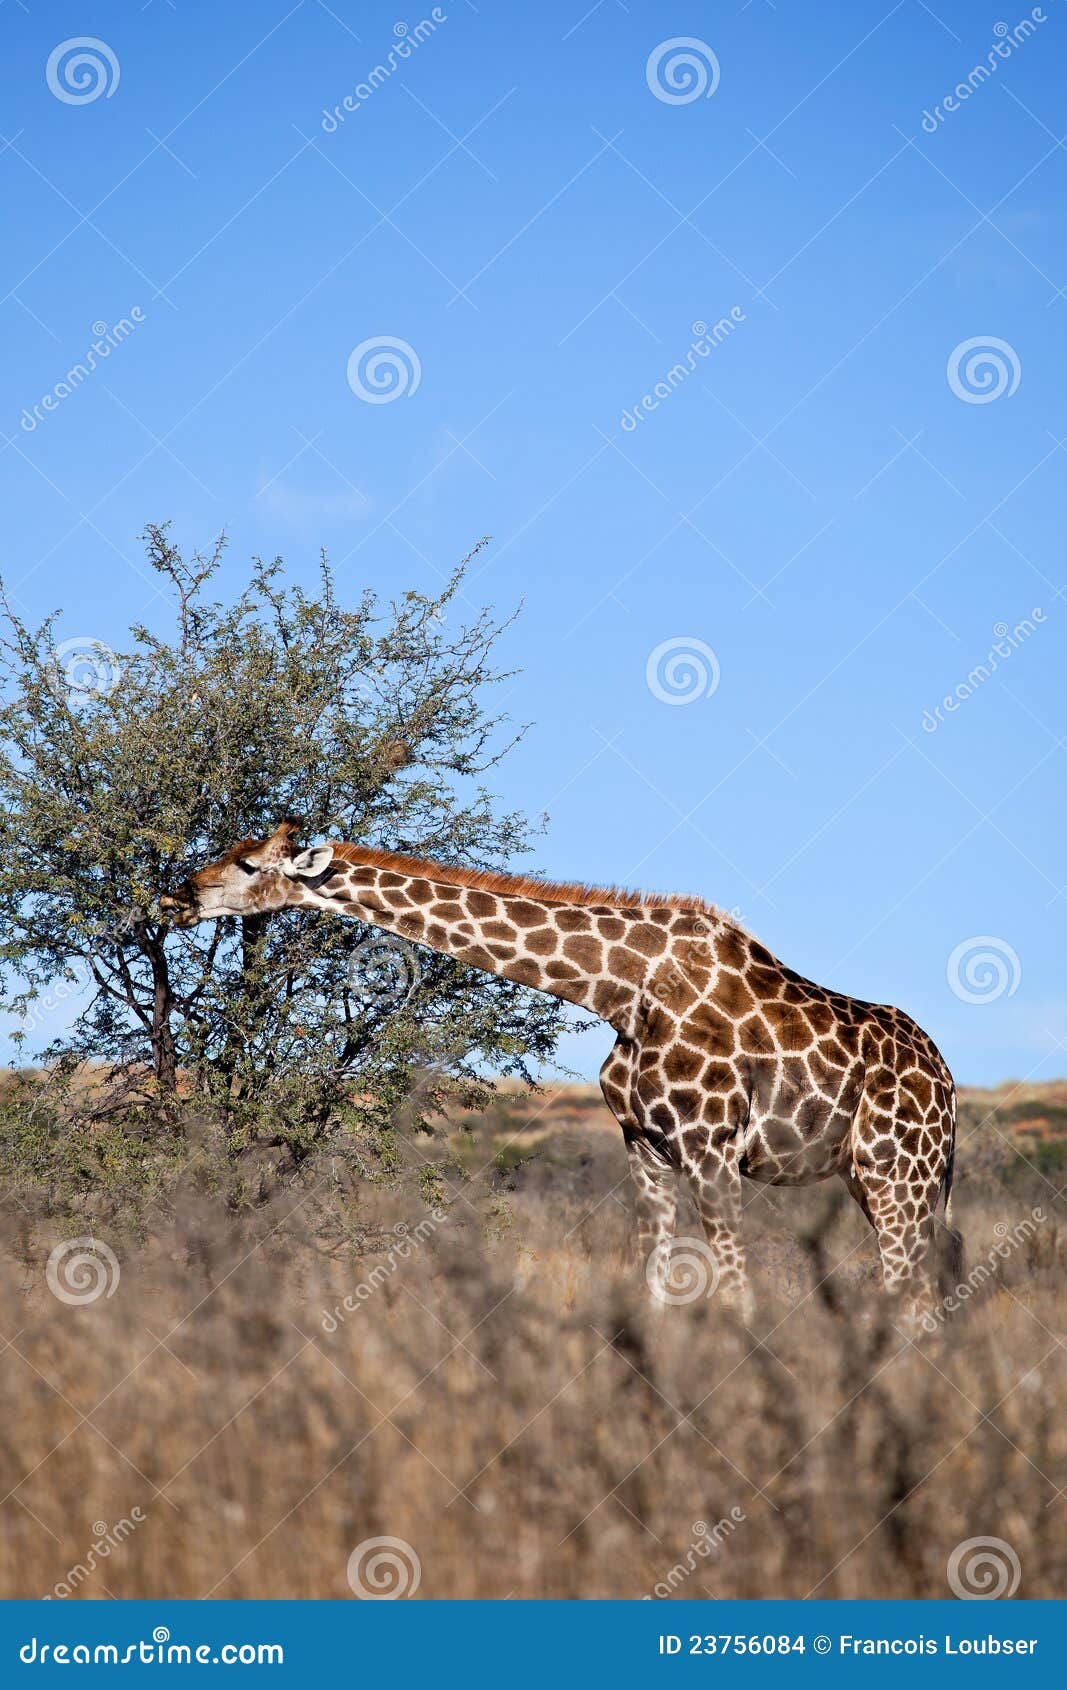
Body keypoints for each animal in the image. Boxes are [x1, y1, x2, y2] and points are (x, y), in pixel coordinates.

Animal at [160, 821, 962, 1322]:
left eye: (249, 864)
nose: (176, 895)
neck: (623, 991)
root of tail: (948, 1085)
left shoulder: (710, 1150)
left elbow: (737, 1296)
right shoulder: (644, 1146)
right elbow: (654, 1289)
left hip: (897, 1173)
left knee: (912, 1297)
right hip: (880, 1179)